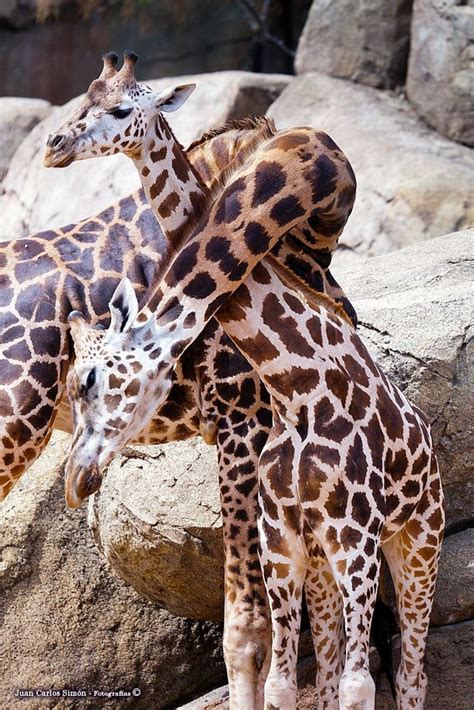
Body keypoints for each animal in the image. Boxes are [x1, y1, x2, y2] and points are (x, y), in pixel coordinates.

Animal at [1, 52, 358, 707]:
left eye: (119, 107)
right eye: (82, 99)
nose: (55, 145)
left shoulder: (263, 432)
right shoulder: (242, 422)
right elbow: (249, 624)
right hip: (16, 421)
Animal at [48, 54, 444, 709]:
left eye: (122, 107)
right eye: (83, 97)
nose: (75, 484)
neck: (302, 389)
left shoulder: (353, 535)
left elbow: (354, 681)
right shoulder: (284, 536)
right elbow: (286, 678)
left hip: (417, 540)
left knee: (410, 671)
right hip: (327, 558)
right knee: (329, 664)